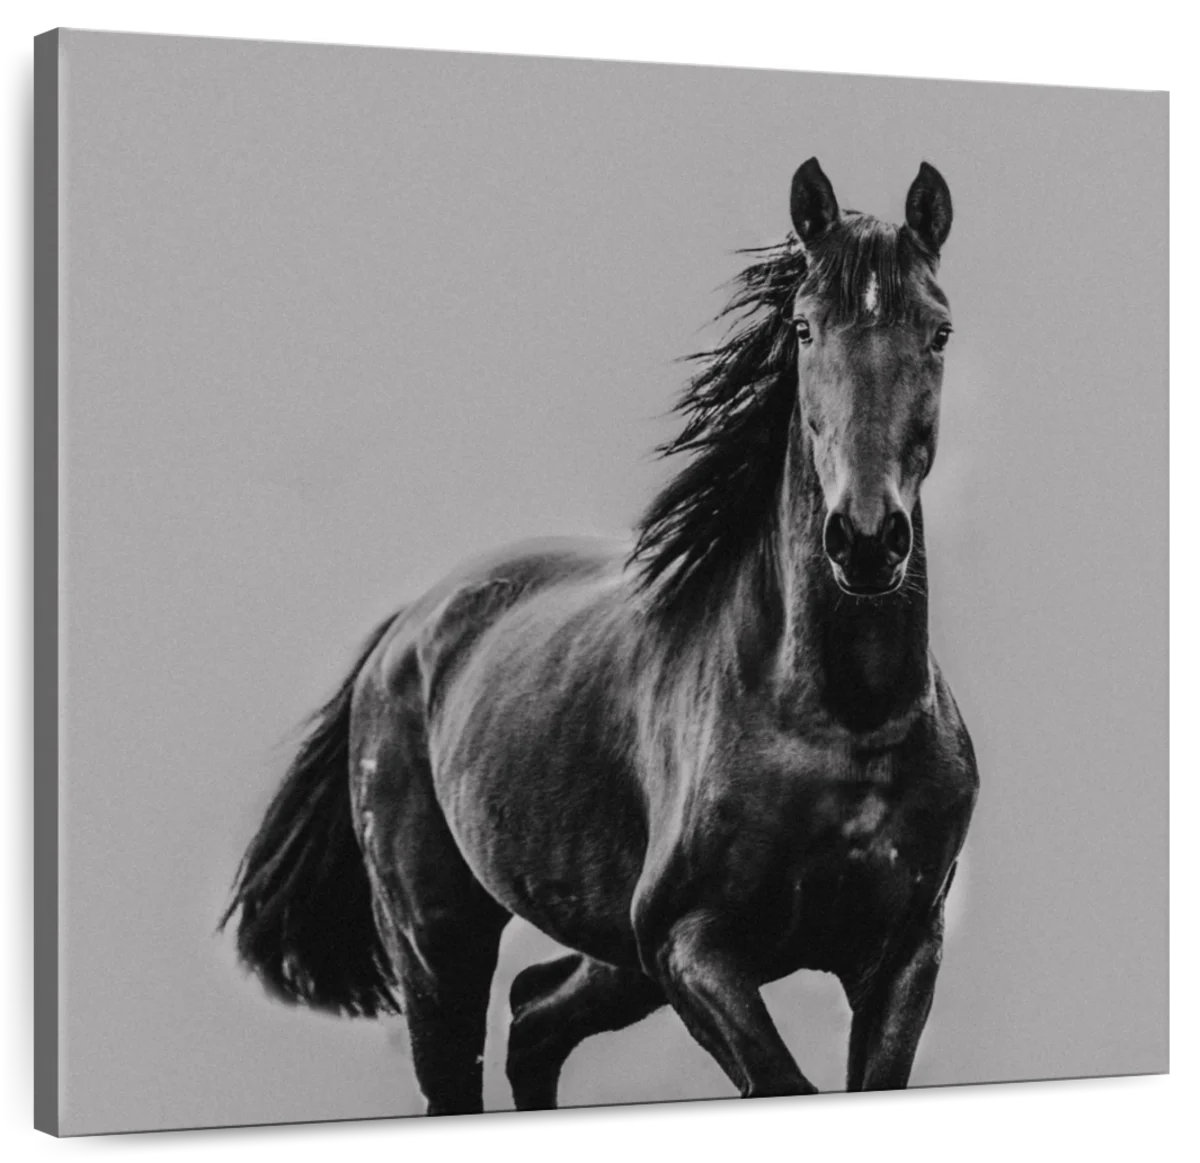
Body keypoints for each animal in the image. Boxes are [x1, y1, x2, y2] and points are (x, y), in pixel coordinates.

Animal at [221, 157, 979, 1116]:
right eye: (804, 328)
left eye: (939, 331)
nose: (868, 539)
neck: (845, 719)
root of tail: (407, 628)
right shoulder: (689, 945)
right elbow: (782, 1080)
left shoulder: (904, 953)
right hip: (441, 943)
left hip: (614, 958)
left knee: (534, 1016)